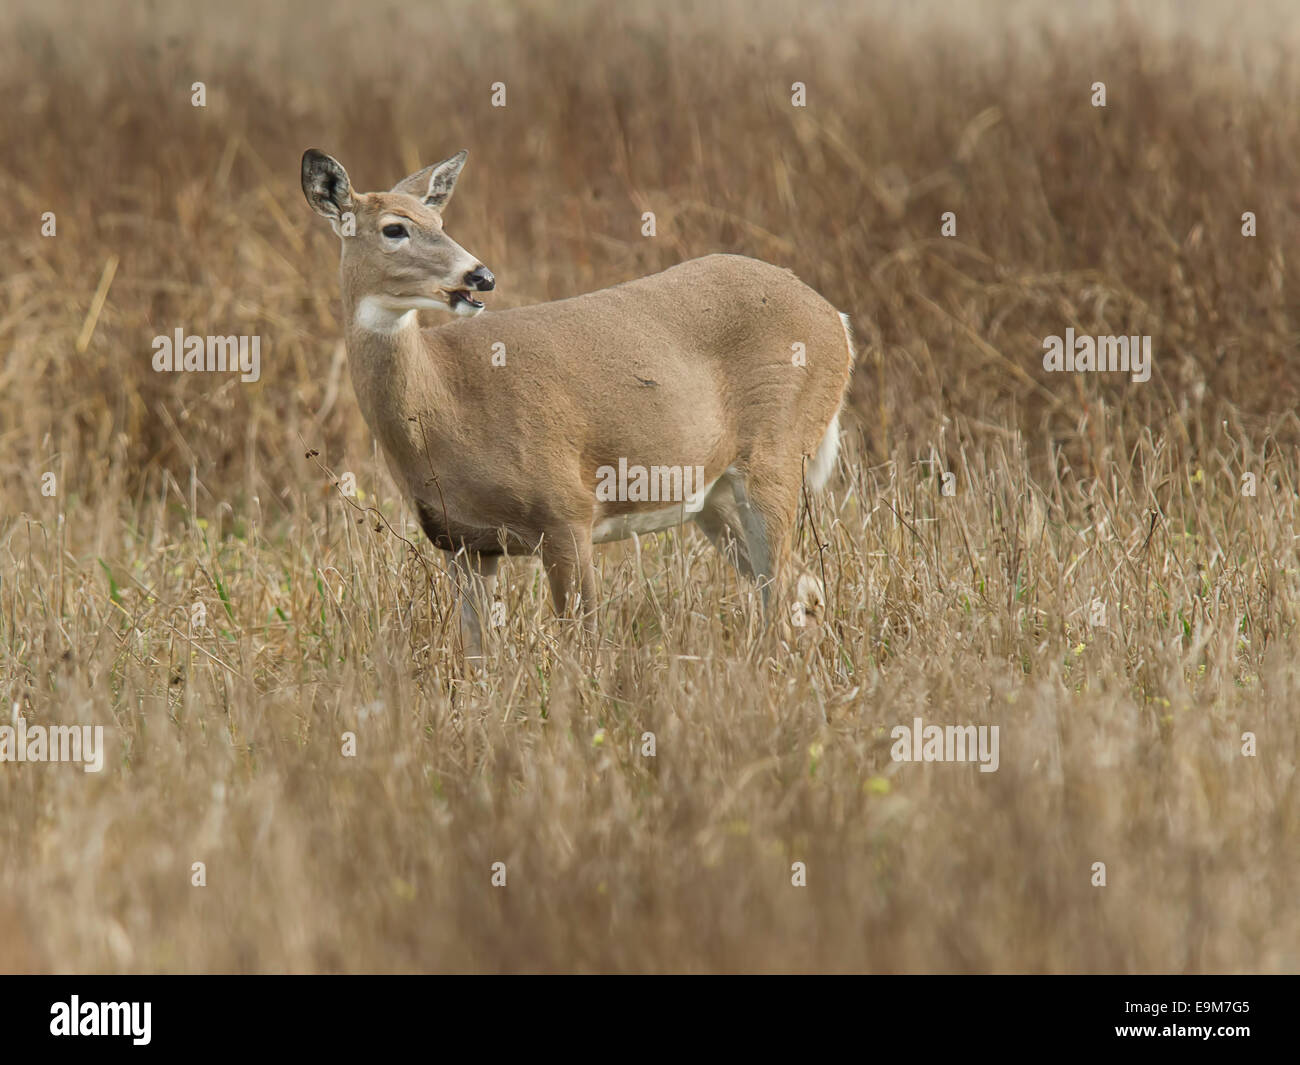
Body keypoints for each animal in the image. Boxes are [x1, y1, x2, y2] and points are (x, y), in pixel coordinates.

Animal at [301, 147, 853, 659]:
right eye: (394, 228)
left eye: (440, 221)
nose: (480, 276)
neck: (446, 404)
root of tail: (837, 319)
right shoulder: (462, 542)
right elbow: (476, 653)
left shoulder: (566, 509)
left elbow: (583, 642)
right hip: (713, 493)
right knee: (800, 584)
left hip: (777, 451)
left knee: (782, 588)